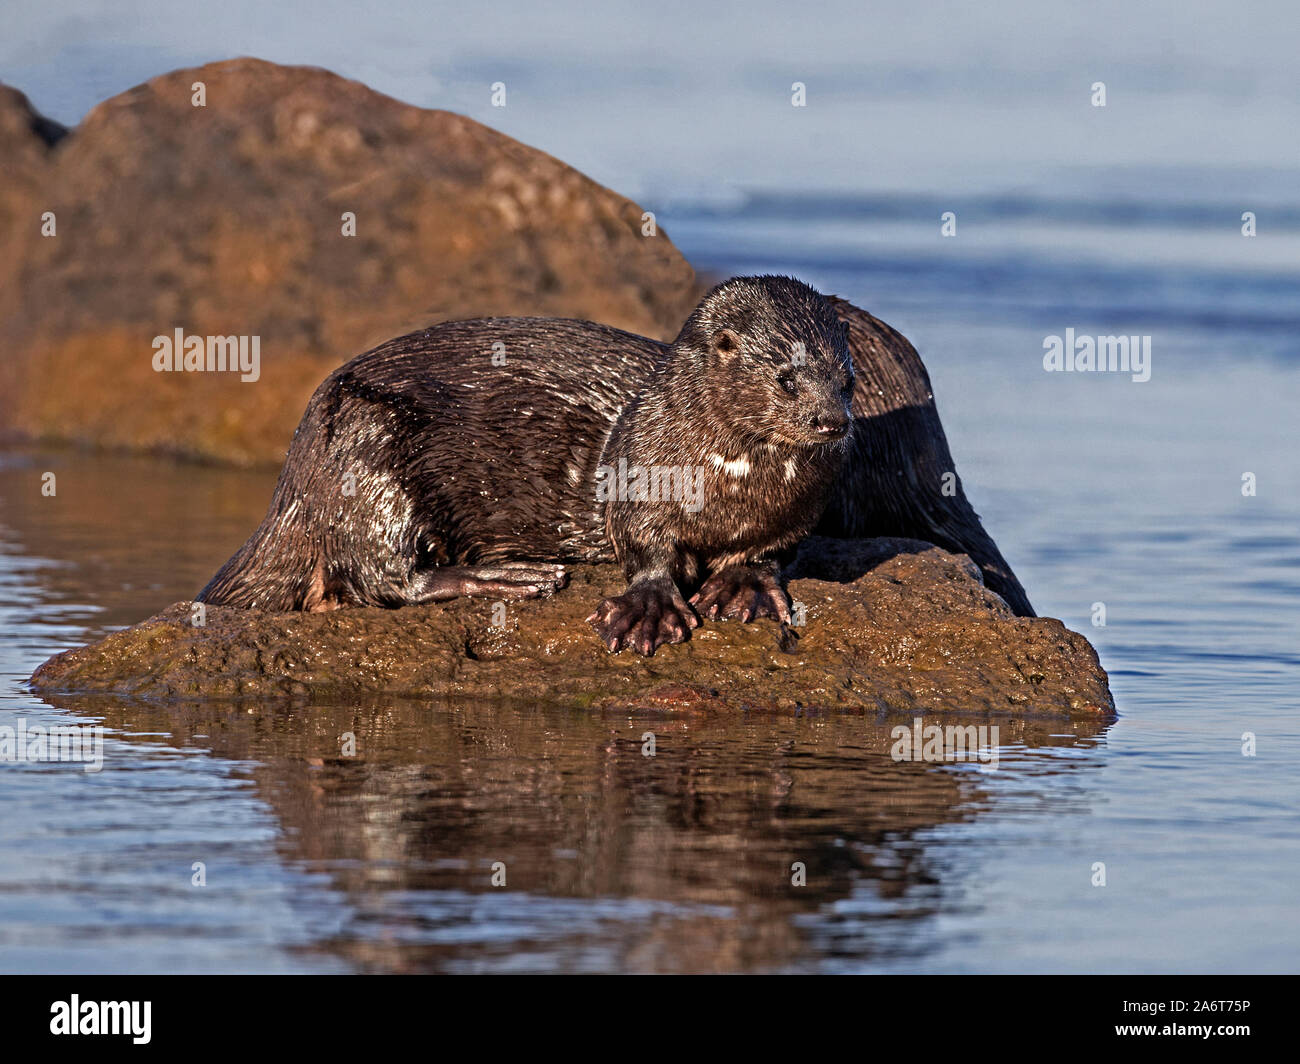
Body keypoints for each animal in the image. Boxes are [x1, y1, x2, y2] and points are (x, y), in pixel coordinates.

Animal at [197, 276, 857, 655]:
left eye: (847, 382)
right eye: (788, 378)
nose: (833, 421)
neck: (732, 487)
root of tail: (291, 486)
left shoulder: (802, 510)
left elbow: (772, 550)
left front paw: (746, 582)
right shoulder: (635, 473)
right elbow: (644, 545)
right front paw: (649, 608)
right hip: (366, 448)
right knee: (379, 575)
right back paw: (508, 576)